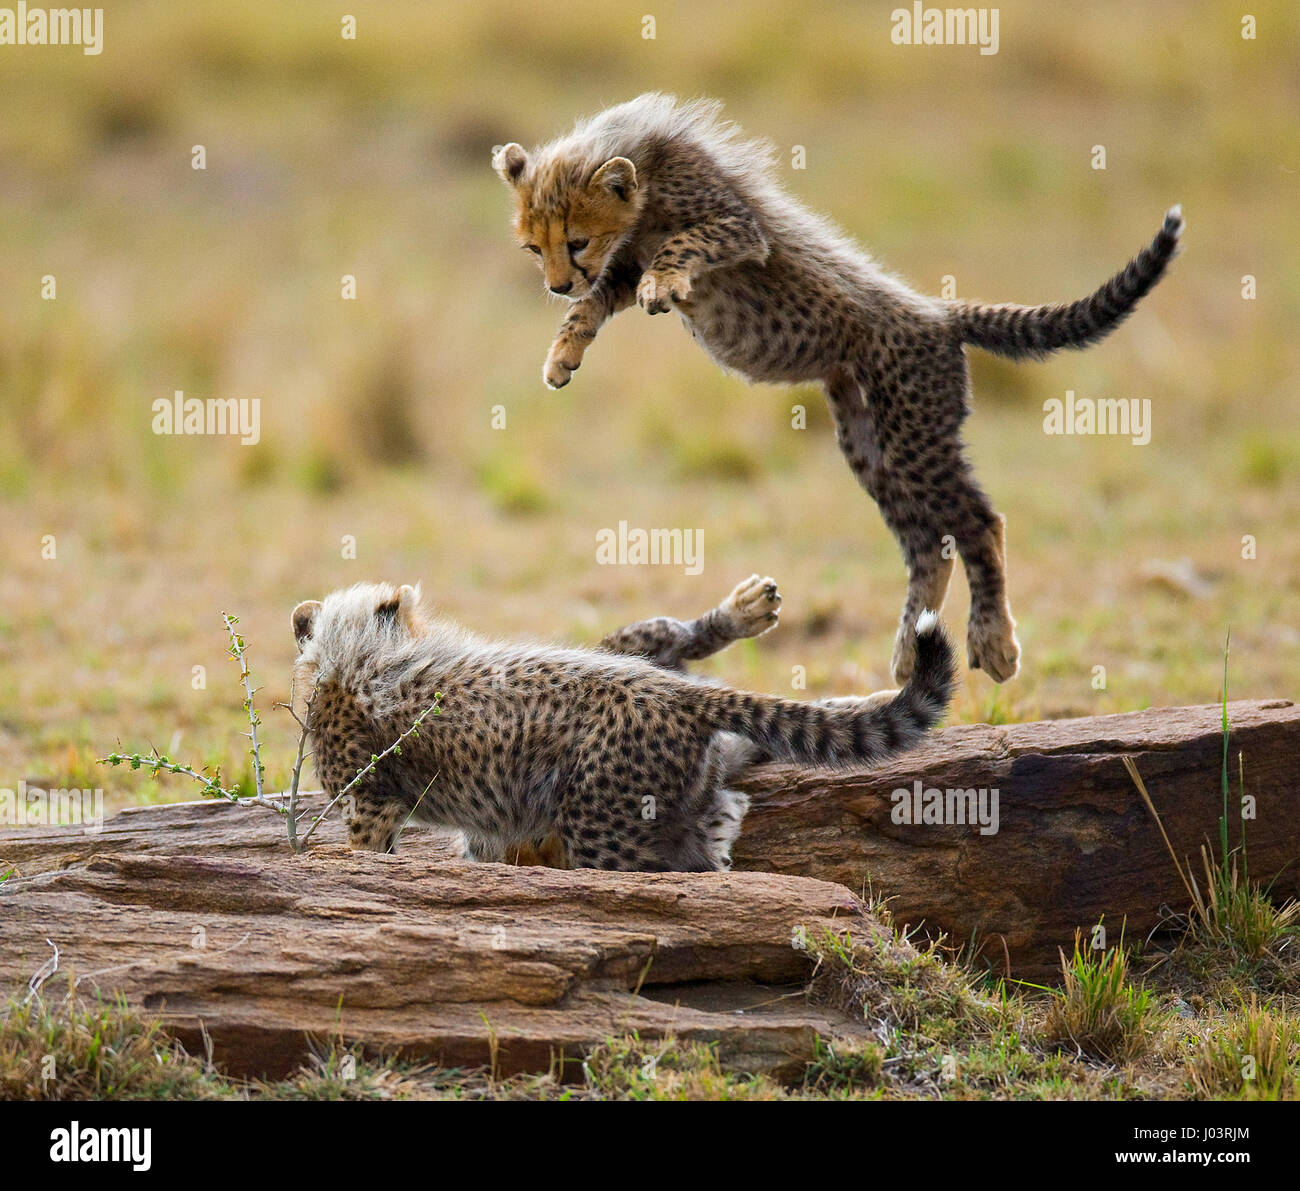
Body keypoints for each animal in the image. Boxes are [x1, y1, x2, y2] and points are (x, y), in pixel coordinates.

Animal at [290, 575, 956, 871]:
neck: (358, 648)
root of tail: (672, 694)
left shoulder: (371, 798)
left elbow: (365, 842)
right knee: (724, 804)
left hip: (601, 828)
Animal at [492, 92, 1183, 686]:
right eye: (532, 248)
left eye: (576, 241)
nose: (555, 282)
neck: (642, 175)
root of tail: (937, 312)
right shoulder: (620, 264)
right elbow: (594, 305)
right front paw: (563, 353)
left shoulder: (735, 227)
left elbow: (685, 244)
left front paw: (659, 285)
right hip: (869, 445)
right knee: (928, 545)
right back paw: (908, 652)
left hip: (914, 432)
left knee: (982, 524)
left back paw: (993, 642)